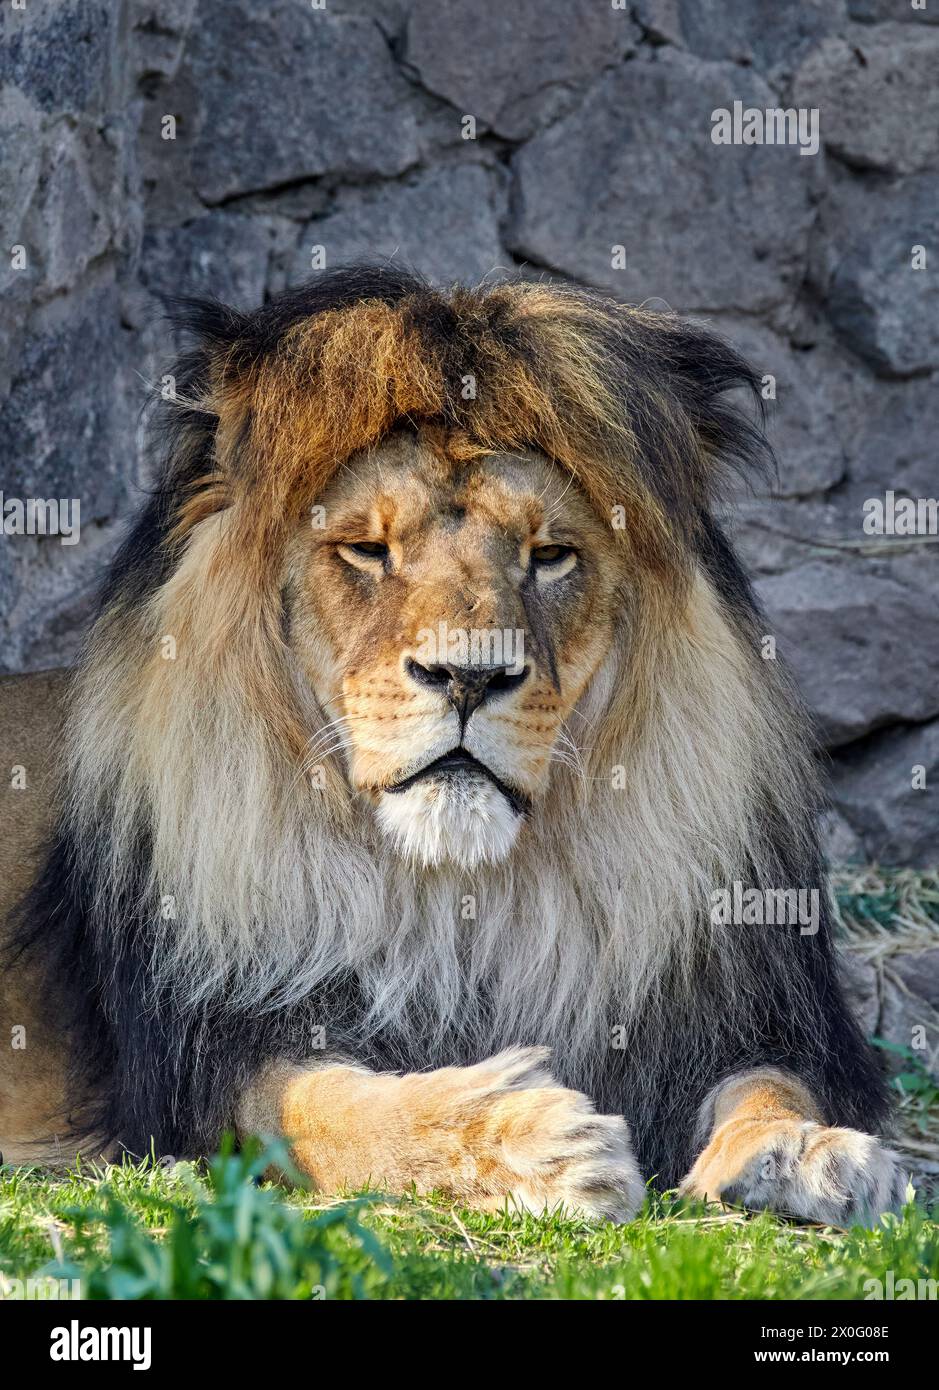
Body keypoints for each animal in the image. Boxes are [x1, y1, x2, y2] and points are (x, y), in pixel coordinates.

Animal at [0, 267, 906, 1224]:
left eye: (550, 555)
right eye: (366, 549)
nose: (467, 677)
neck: (461, 897)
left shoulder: (731, 1011)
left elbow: (770, 1081)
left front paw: (804, 1152)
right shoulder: (205, 1059)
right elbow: (328, 1109)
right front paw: (527, 1140)